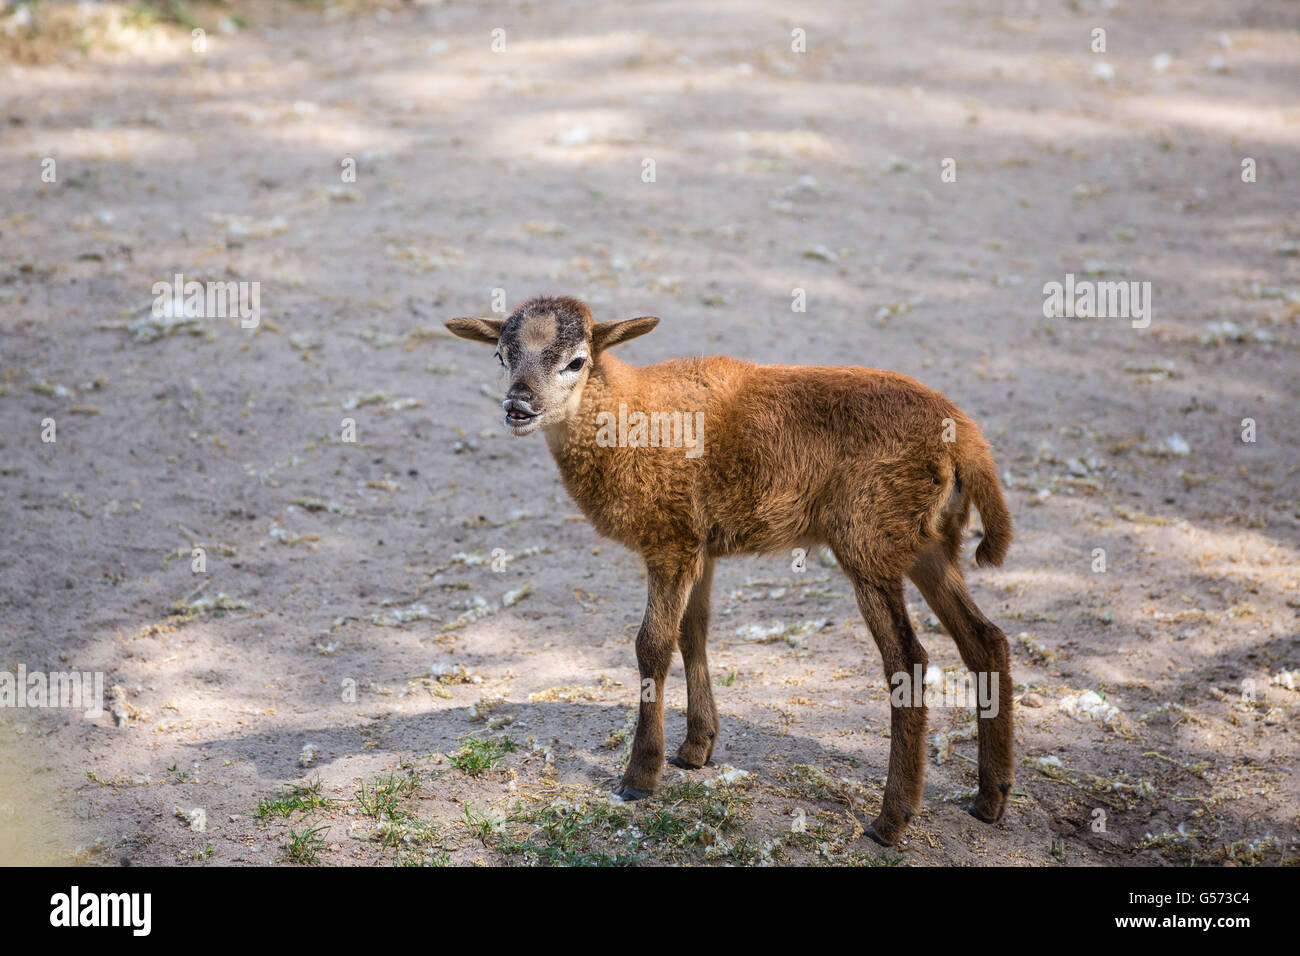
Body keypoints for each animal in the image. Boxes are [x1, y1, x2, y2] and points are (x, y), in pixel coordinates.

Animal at [445, 295, 1014, 846]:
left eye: (577, 361)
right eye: (501, 355)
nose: (518, 405)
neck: (627, 418)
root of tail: (965, 438)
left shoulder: (670, 540)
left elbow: (652, 646)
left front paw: (640, 776)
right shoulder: (700, 546)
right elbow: (692, 634)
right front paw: (695, 749)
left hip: (870, 539)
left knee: (909, 660)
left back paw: (892, 821)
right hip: (928, 544)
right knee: (985, 640)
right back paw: (990, 798)